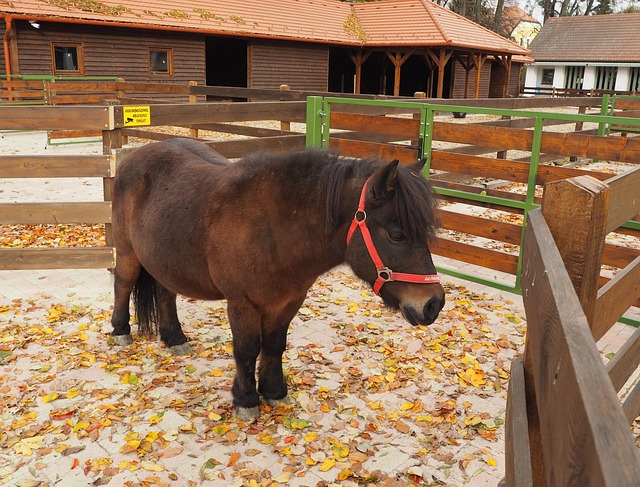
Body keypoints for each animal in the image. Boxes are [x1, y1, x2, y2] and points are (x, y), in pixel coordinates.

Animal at [110, 138, 446, 419]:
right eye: (397, 235)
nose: (434, 304)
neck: (274, 229)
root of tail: (133, 156)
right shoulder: (242, 304)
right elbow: (246, 350)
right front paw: (246, 400)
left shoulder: (288, 301)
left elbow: (273, 345)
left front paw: (274, 391)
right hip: (127, 252)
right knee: (123, 284)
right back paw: (121, 331)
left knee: (166, 293)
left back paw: (174, 337)